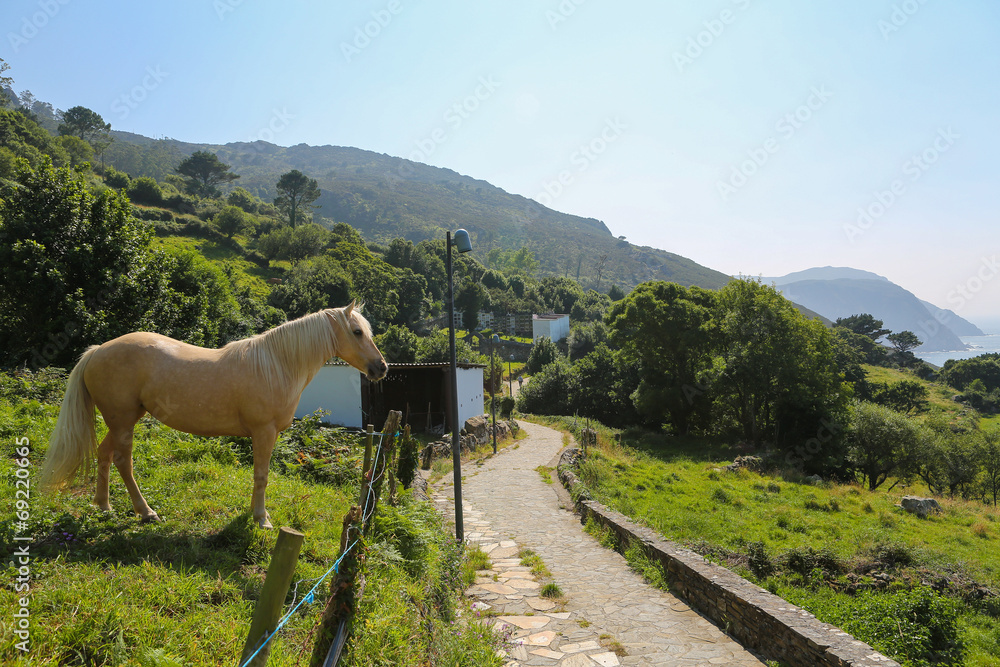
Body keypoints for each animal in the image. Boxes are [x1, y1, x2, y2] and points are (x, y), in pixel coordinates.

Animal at [40, 301, 387, 529]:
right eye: (357, 331)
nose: (381, 368)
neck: (277, 364)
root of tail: (97, 351)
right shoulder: (264, 432)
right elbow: (261, 476)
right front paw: (261, 519)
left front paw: (255, 514)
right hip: (123, 421)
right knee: (124, 461)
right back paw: (145, 512)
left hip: (122, 420)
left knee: (104, 454)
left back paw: (104, 505)